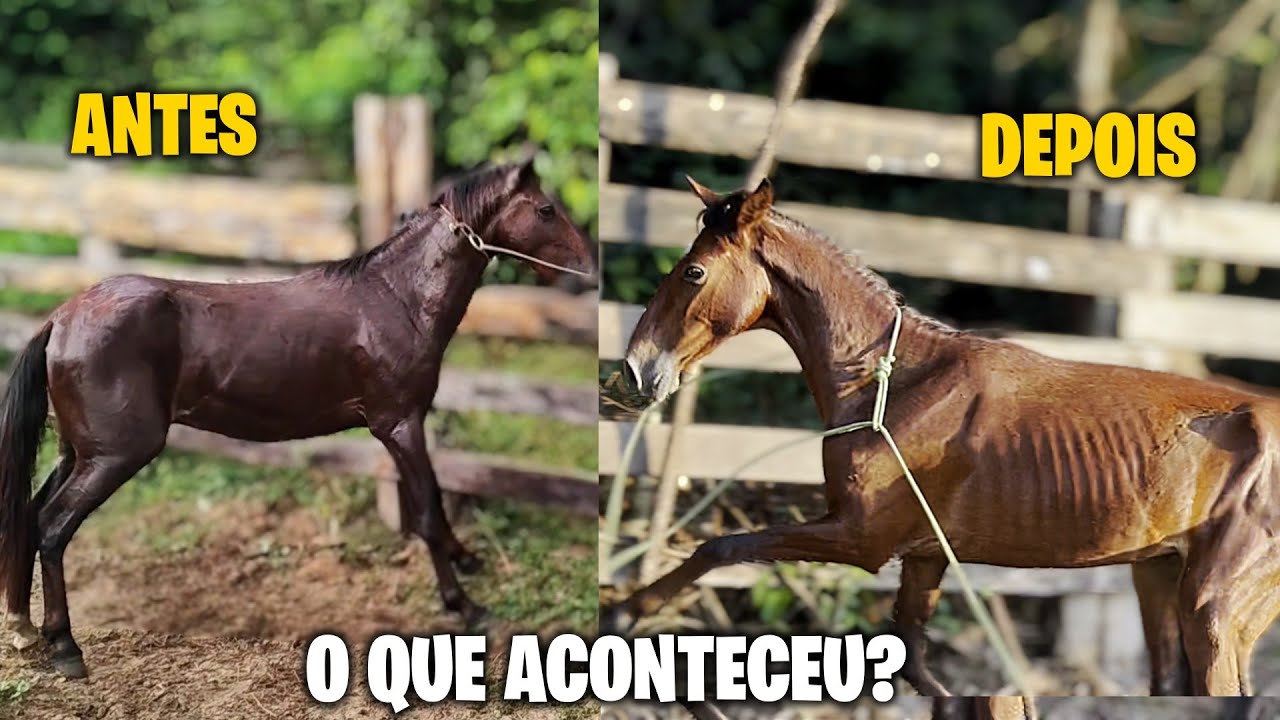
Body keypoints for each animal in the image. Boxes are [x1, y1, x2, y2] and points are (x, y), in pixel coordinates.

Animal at [0, 156, 595, 679]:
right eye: (546, 209)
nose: (585, 275)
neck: (396, 299)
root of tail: (60, 318)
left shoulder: (399, 427)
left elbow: (433, 504)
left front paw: (468, 562)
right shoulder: (399, 423)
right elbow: (427, 508)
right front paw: (465, 605)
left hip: (78, 451)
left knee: (28, 514)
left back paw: (24, 629)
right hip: (116, 454)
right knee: (53, 526)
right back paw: (64, 647)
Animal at [616, 175, 1280, 697]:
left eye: (693, 271)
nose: (635, 368)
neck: (897, 382)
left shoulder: (862, 538)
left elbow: (722, 547)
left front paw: (626, 614)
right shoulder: (925, 555)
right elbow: (914, 661)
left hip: (1215, 611)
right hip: (1160, 579)